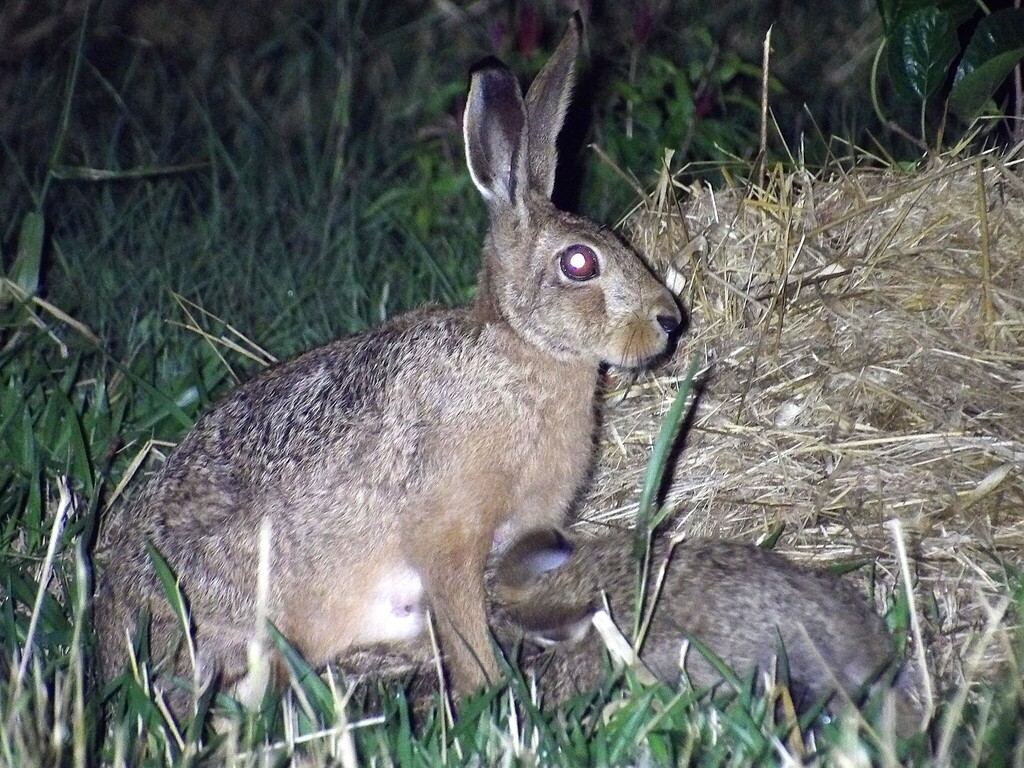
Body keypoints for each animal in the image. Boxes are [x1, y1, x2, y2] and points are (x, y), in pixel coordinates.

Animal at [93, 11, 683, 715]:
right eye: (579, 263)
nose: (669, 322)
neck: (520, 347)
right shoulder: (447, 534)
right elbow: (463, 621)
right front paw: (488, 689)